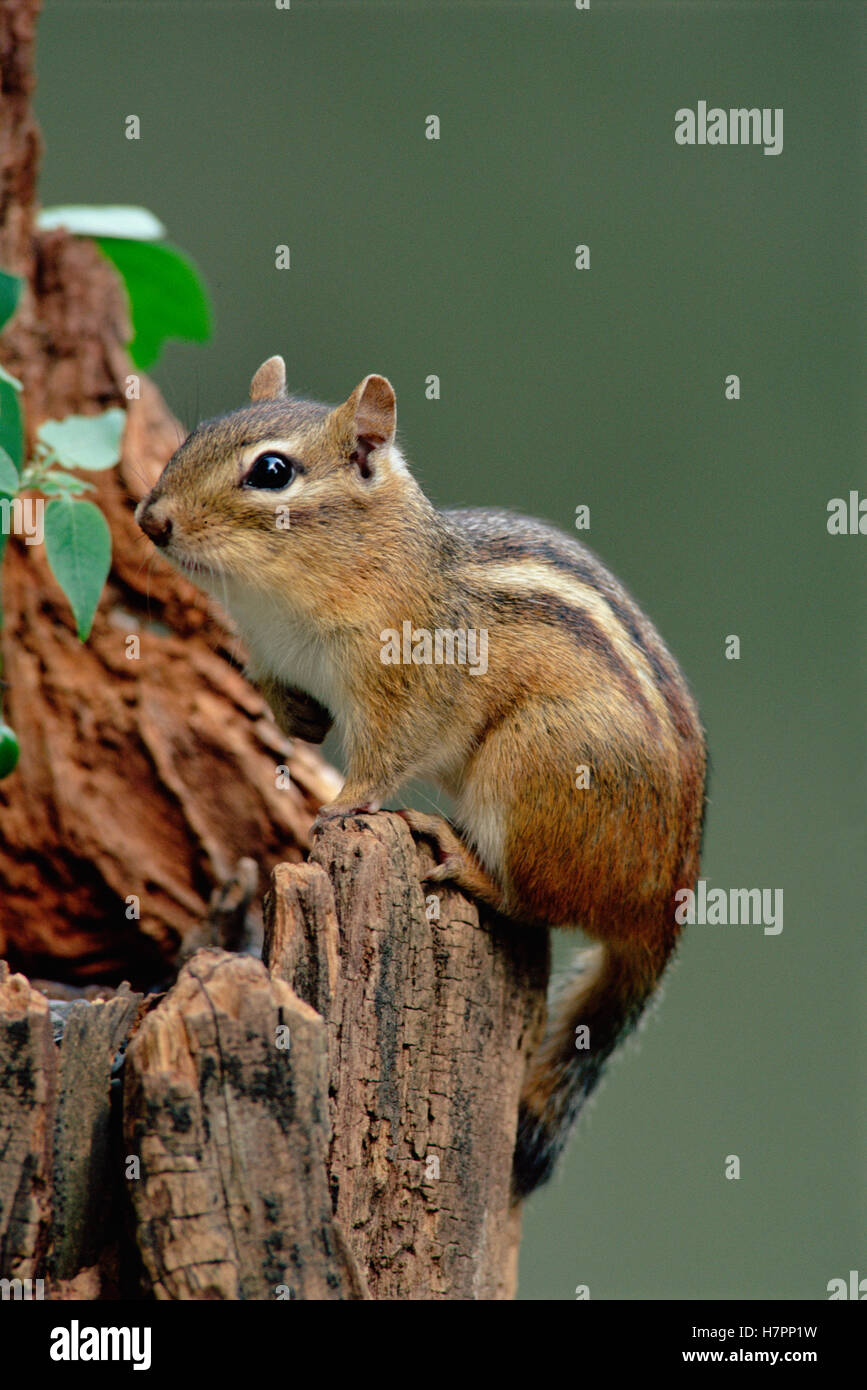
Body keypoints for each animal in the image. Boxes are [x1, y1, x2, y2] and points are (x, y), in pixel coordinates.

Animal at [136, 356, 707, 1198]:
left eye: (271, 472)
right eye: (195, 436)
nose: (151, 520)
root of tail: (663, 907)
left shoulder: (406, 683)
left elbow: (384, 755)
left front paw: (337, 807)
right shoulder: (269, 653)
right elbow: (276, 692)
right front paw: (299, 720)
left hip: (532, 765)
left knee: (528, 902)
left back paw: (462, 858)